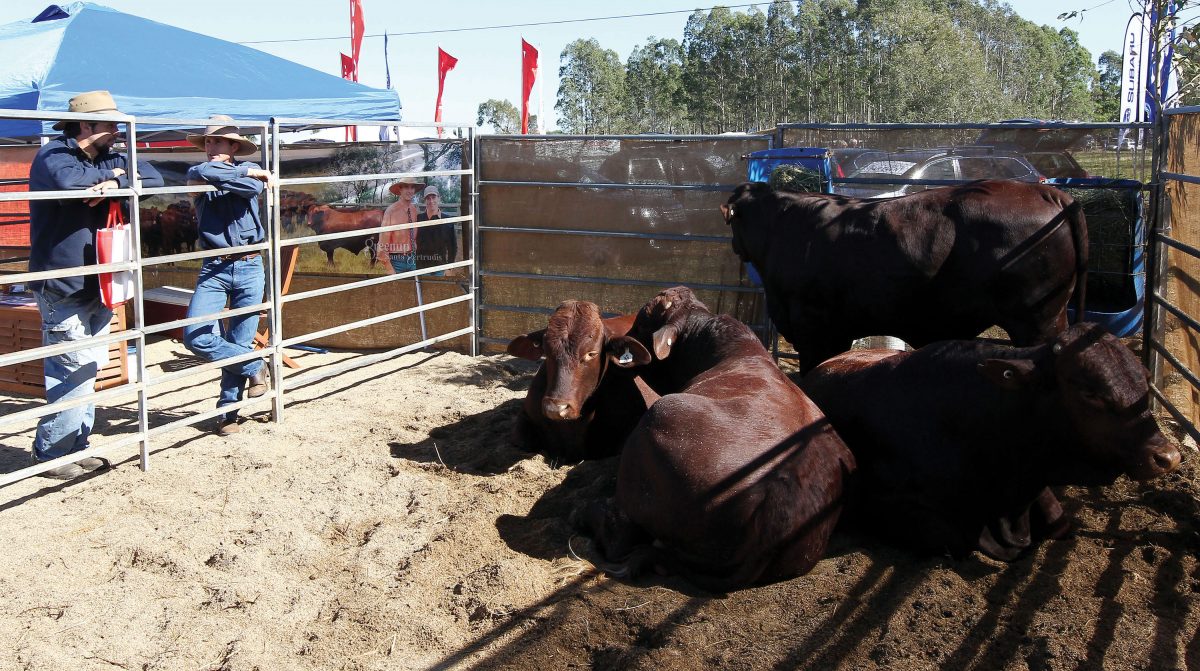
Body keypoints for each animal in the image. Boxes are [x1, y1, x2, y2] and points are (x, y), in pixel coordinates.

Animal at [800, 322, 1182, 561]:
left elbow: (1060, 522)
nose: (1167, 456)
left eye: (1143, 376)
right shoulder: (892, 503)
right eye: (1089, 391)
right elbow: (955, 542)